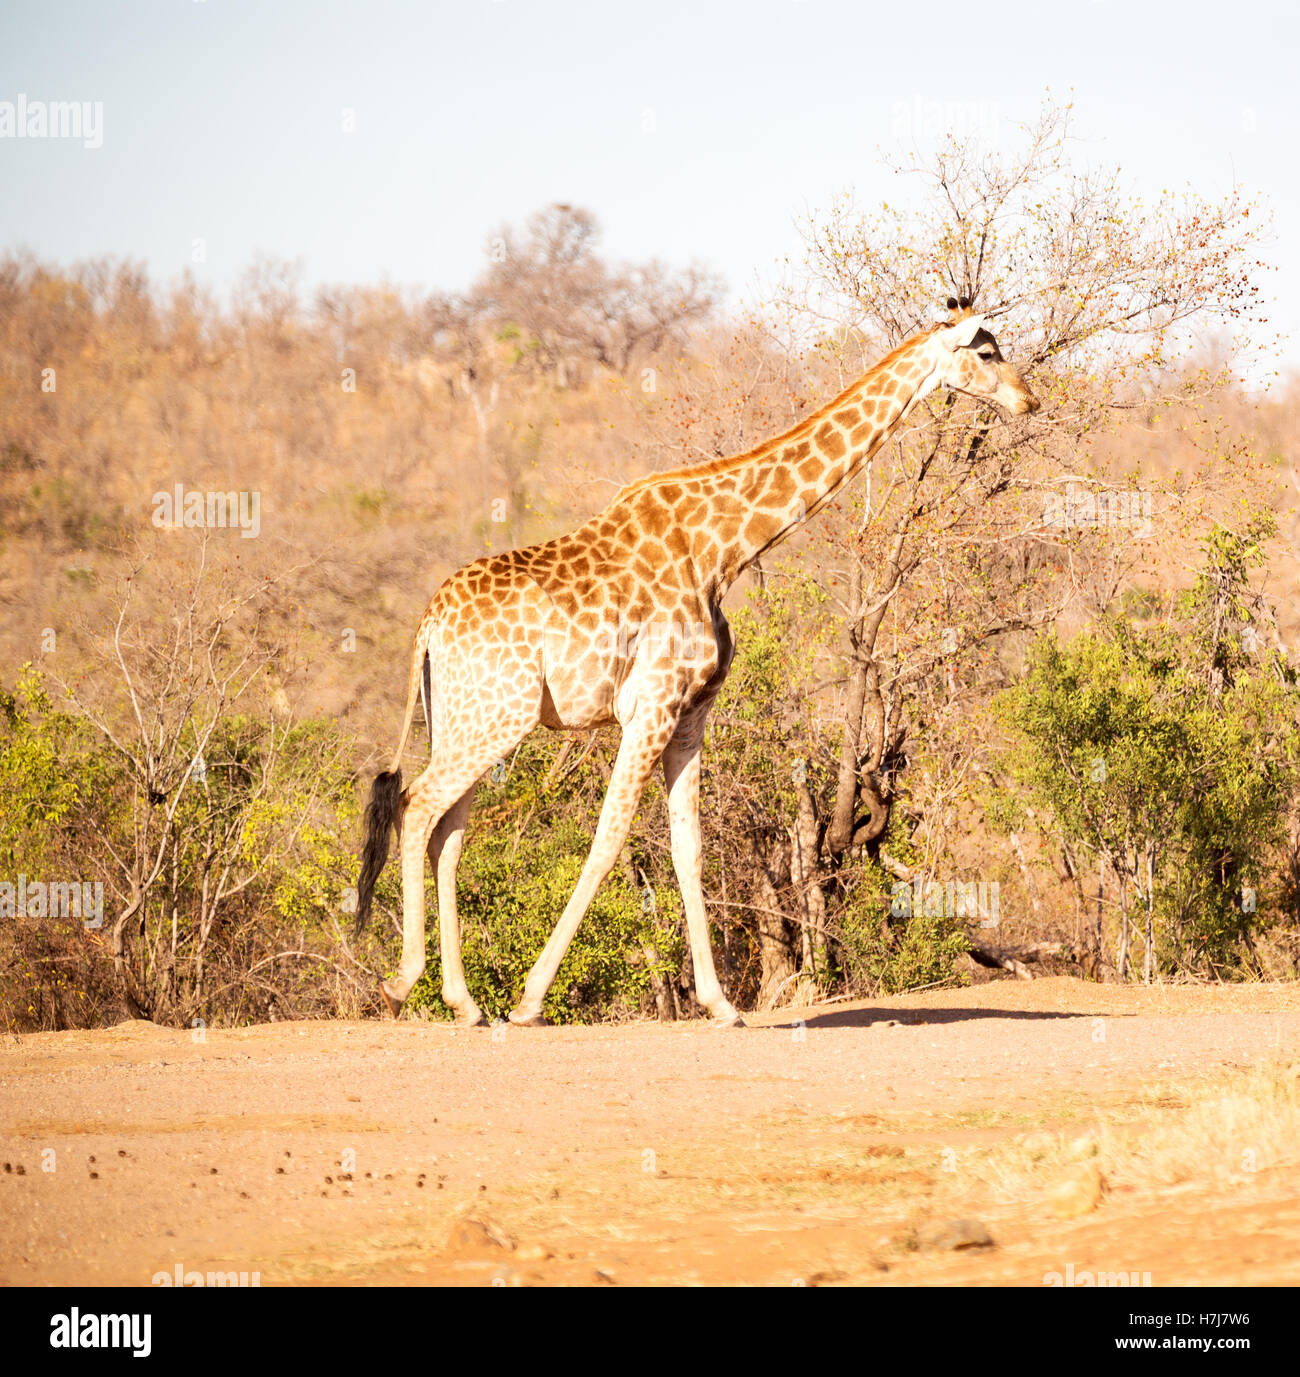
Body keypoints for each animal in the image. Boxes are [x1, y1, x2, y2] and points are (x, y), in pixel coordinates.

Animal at [354, 299, 1040, 1027]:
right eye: (987, 353)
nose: (1029, 399)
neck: (723, 549)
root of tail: (427, 626)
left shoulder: (690, 713)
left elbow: (690, 848)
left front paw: (719, 1003)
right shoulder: (651, 706)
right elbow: (609, 837)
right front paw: (532, 999)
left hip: (467, 718)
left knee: (448, 829)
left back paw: (463, 1001)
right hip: (498, 717)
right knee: (418, 805)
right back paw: (406, 982)